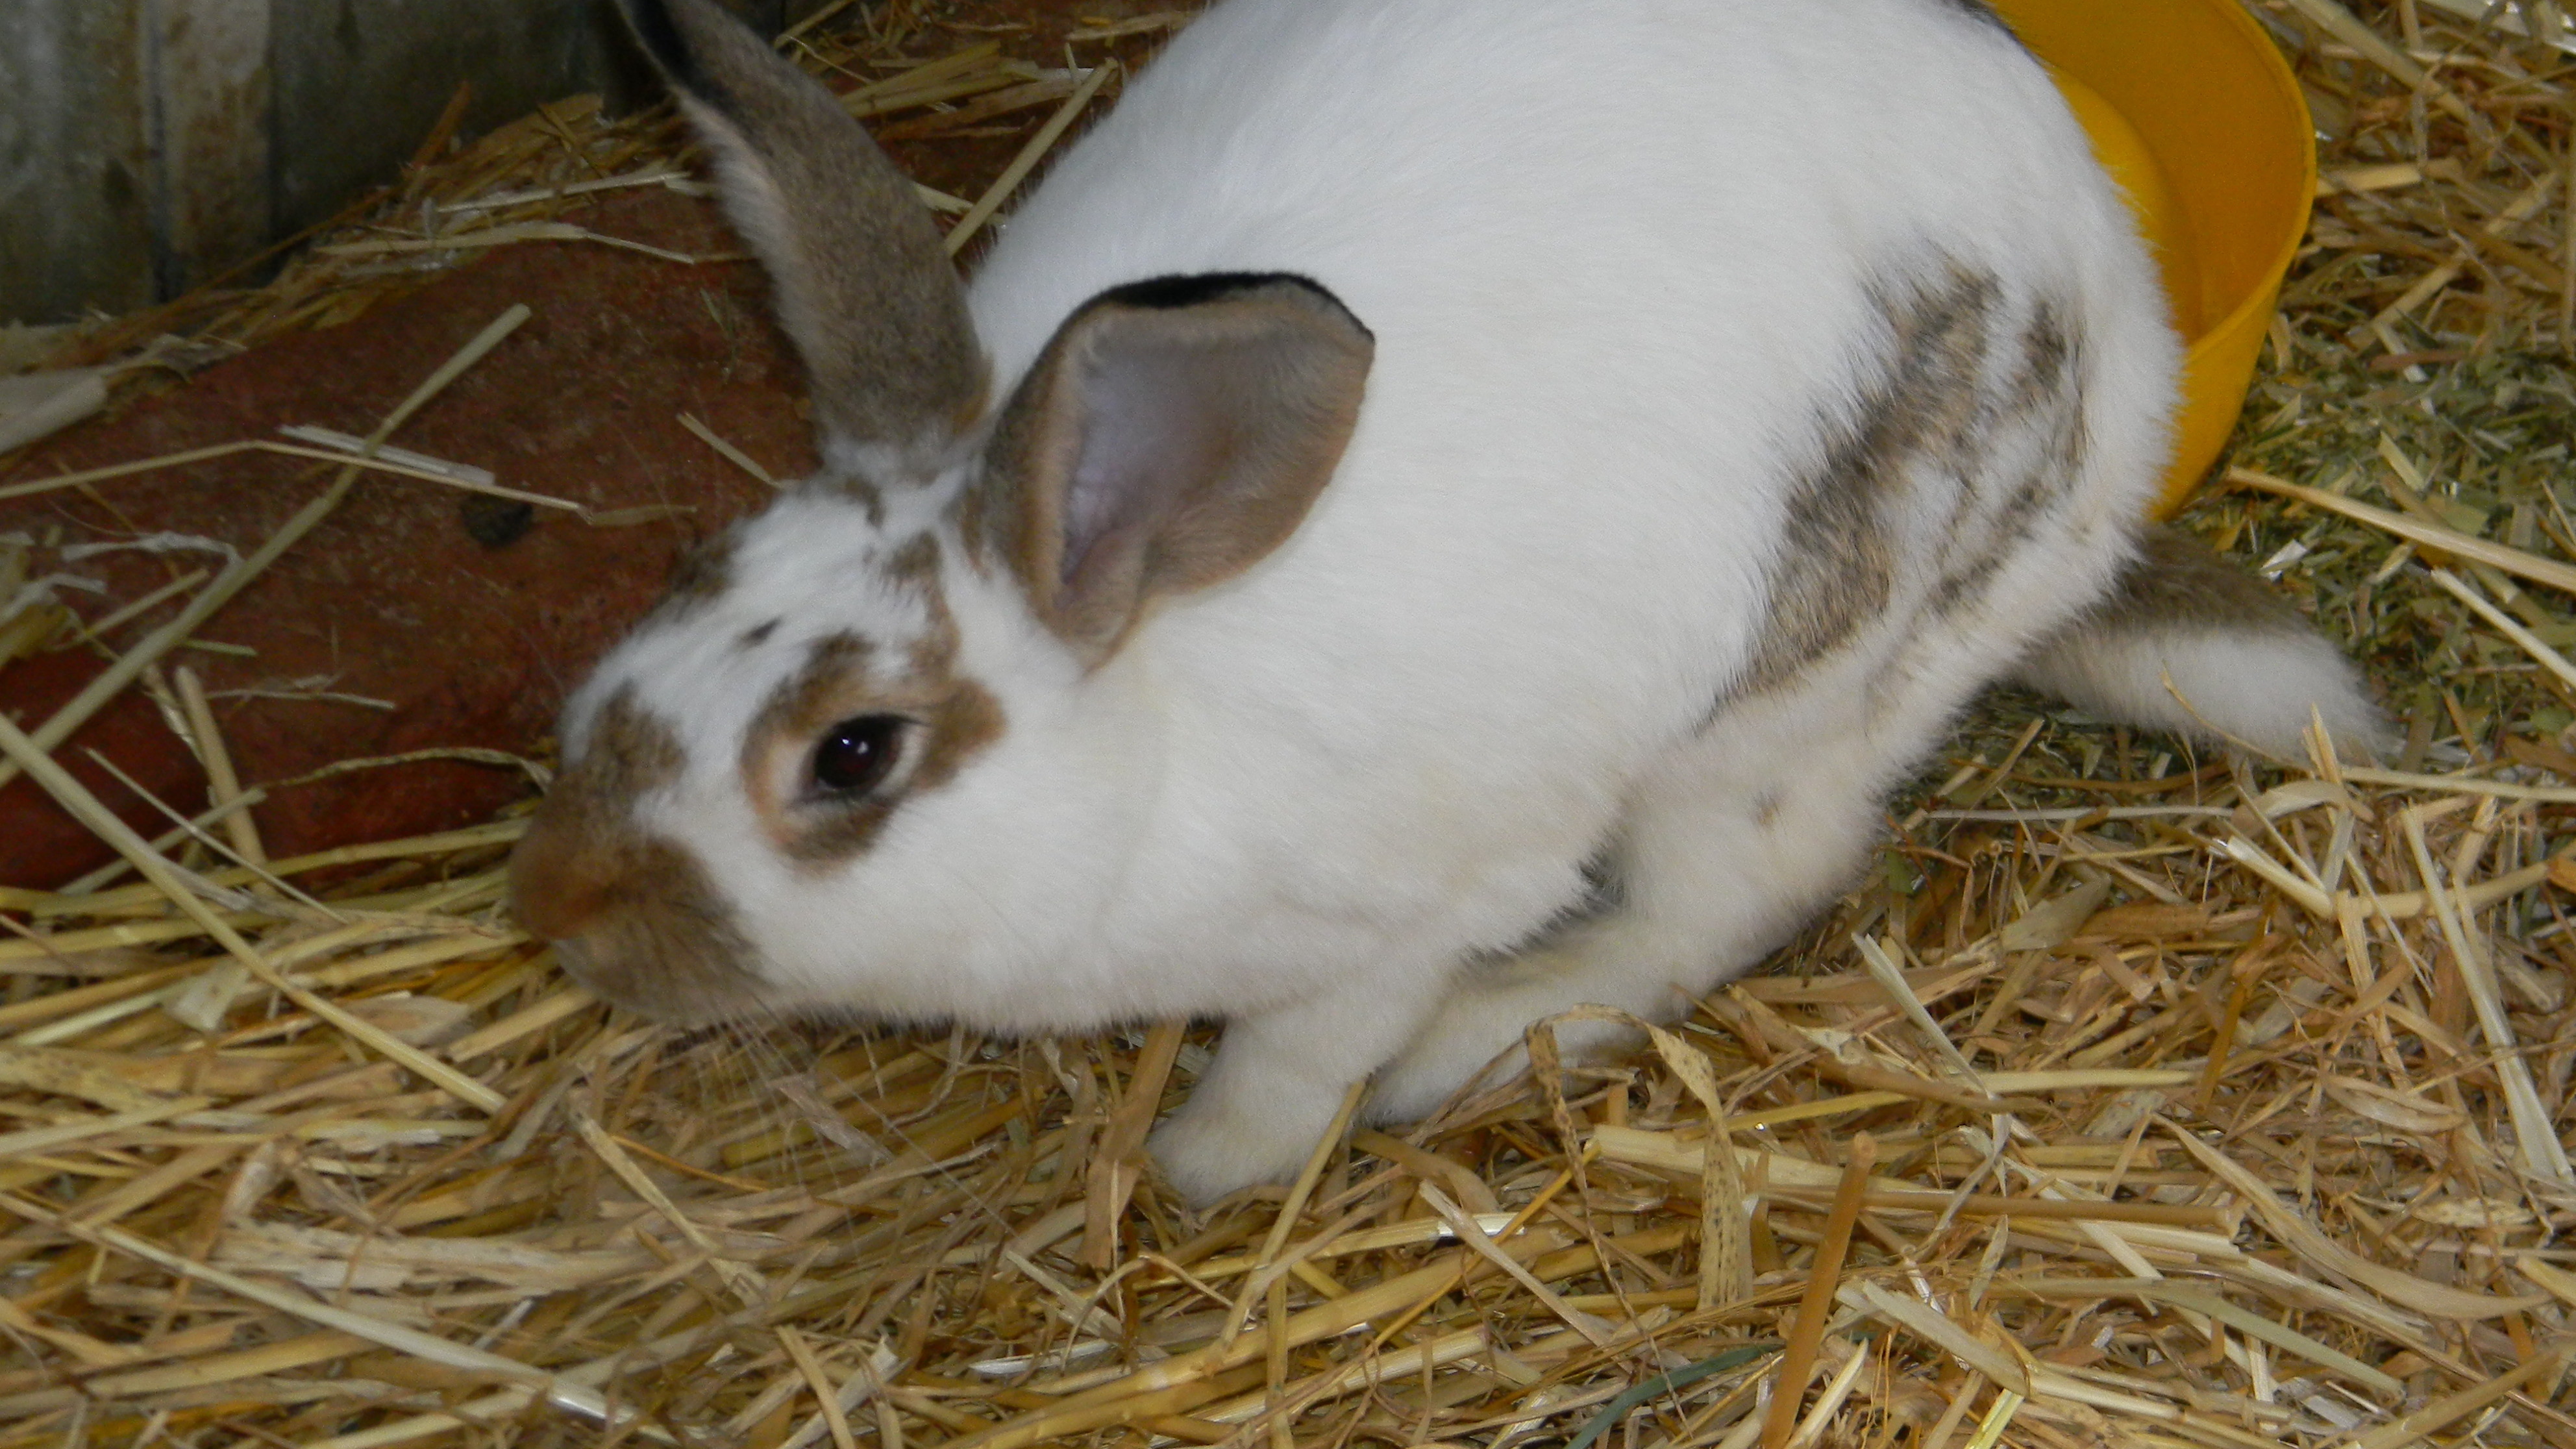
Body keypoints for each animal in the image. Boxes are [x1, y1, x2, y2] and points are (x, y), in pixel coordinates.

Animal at [510, 0, 2385, 1203]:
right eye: (686, 576)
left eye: (854, 754)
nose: (557, 910)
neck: (1155, 683)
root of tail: (2126, 357)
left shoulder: (1403, 913)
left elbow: (1304, 1052)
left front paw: (1205, 1164)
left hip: (1792, 689)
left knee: (1745, 883)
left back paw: (1489, 1042)